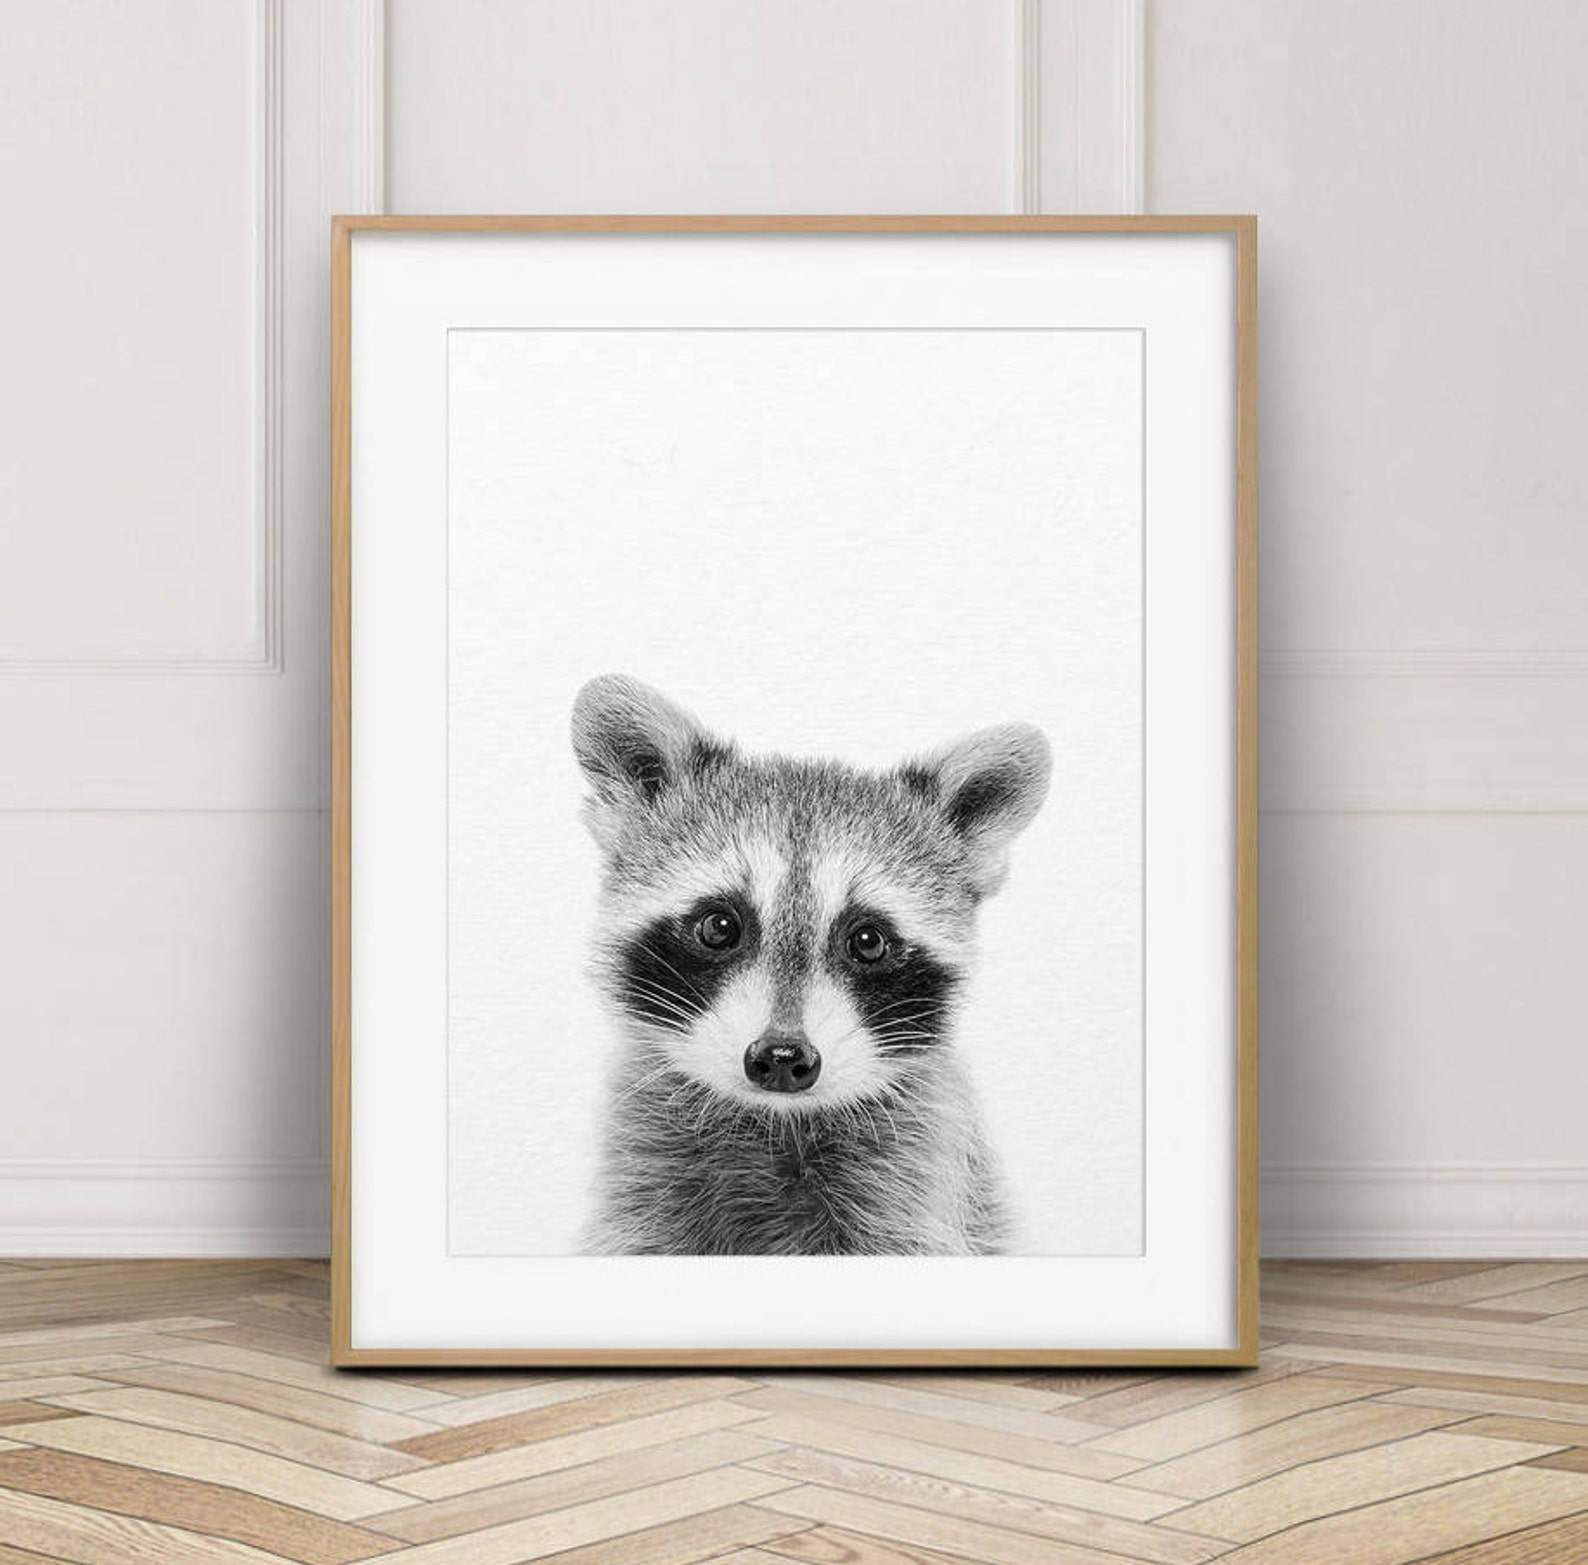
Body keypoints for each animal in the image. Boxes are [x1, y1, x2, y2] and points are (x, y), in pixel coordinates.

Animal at [573, 674, 1051, 1256]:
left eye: (868, 941)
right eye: (719, 927)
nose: (782, 1057)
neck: (778, 1122)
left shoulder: (912, 1176)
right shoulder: (645, 1177)